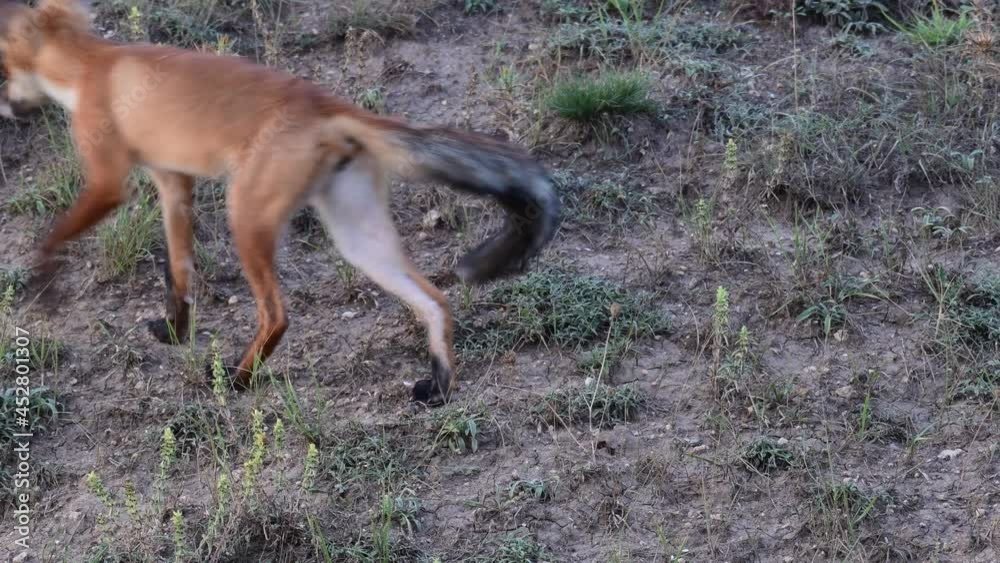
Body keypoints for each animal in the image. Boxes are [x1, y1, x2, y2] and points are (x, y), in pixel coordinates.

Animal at [0, 0, 559, 404]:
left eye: (3, 73)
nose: (7, 111)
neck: (89, 65)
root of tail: (330, 104)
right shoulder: (173, 183)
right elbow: (178, 271)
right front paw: (176, 329)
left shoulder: (110, 181)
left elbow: (53, 235)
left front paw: (41, 283)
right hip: (358, 239)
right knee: (436, 300)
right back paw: (440, 384)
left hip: (245, 217)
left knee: (277, 315)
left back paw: (236, 381)